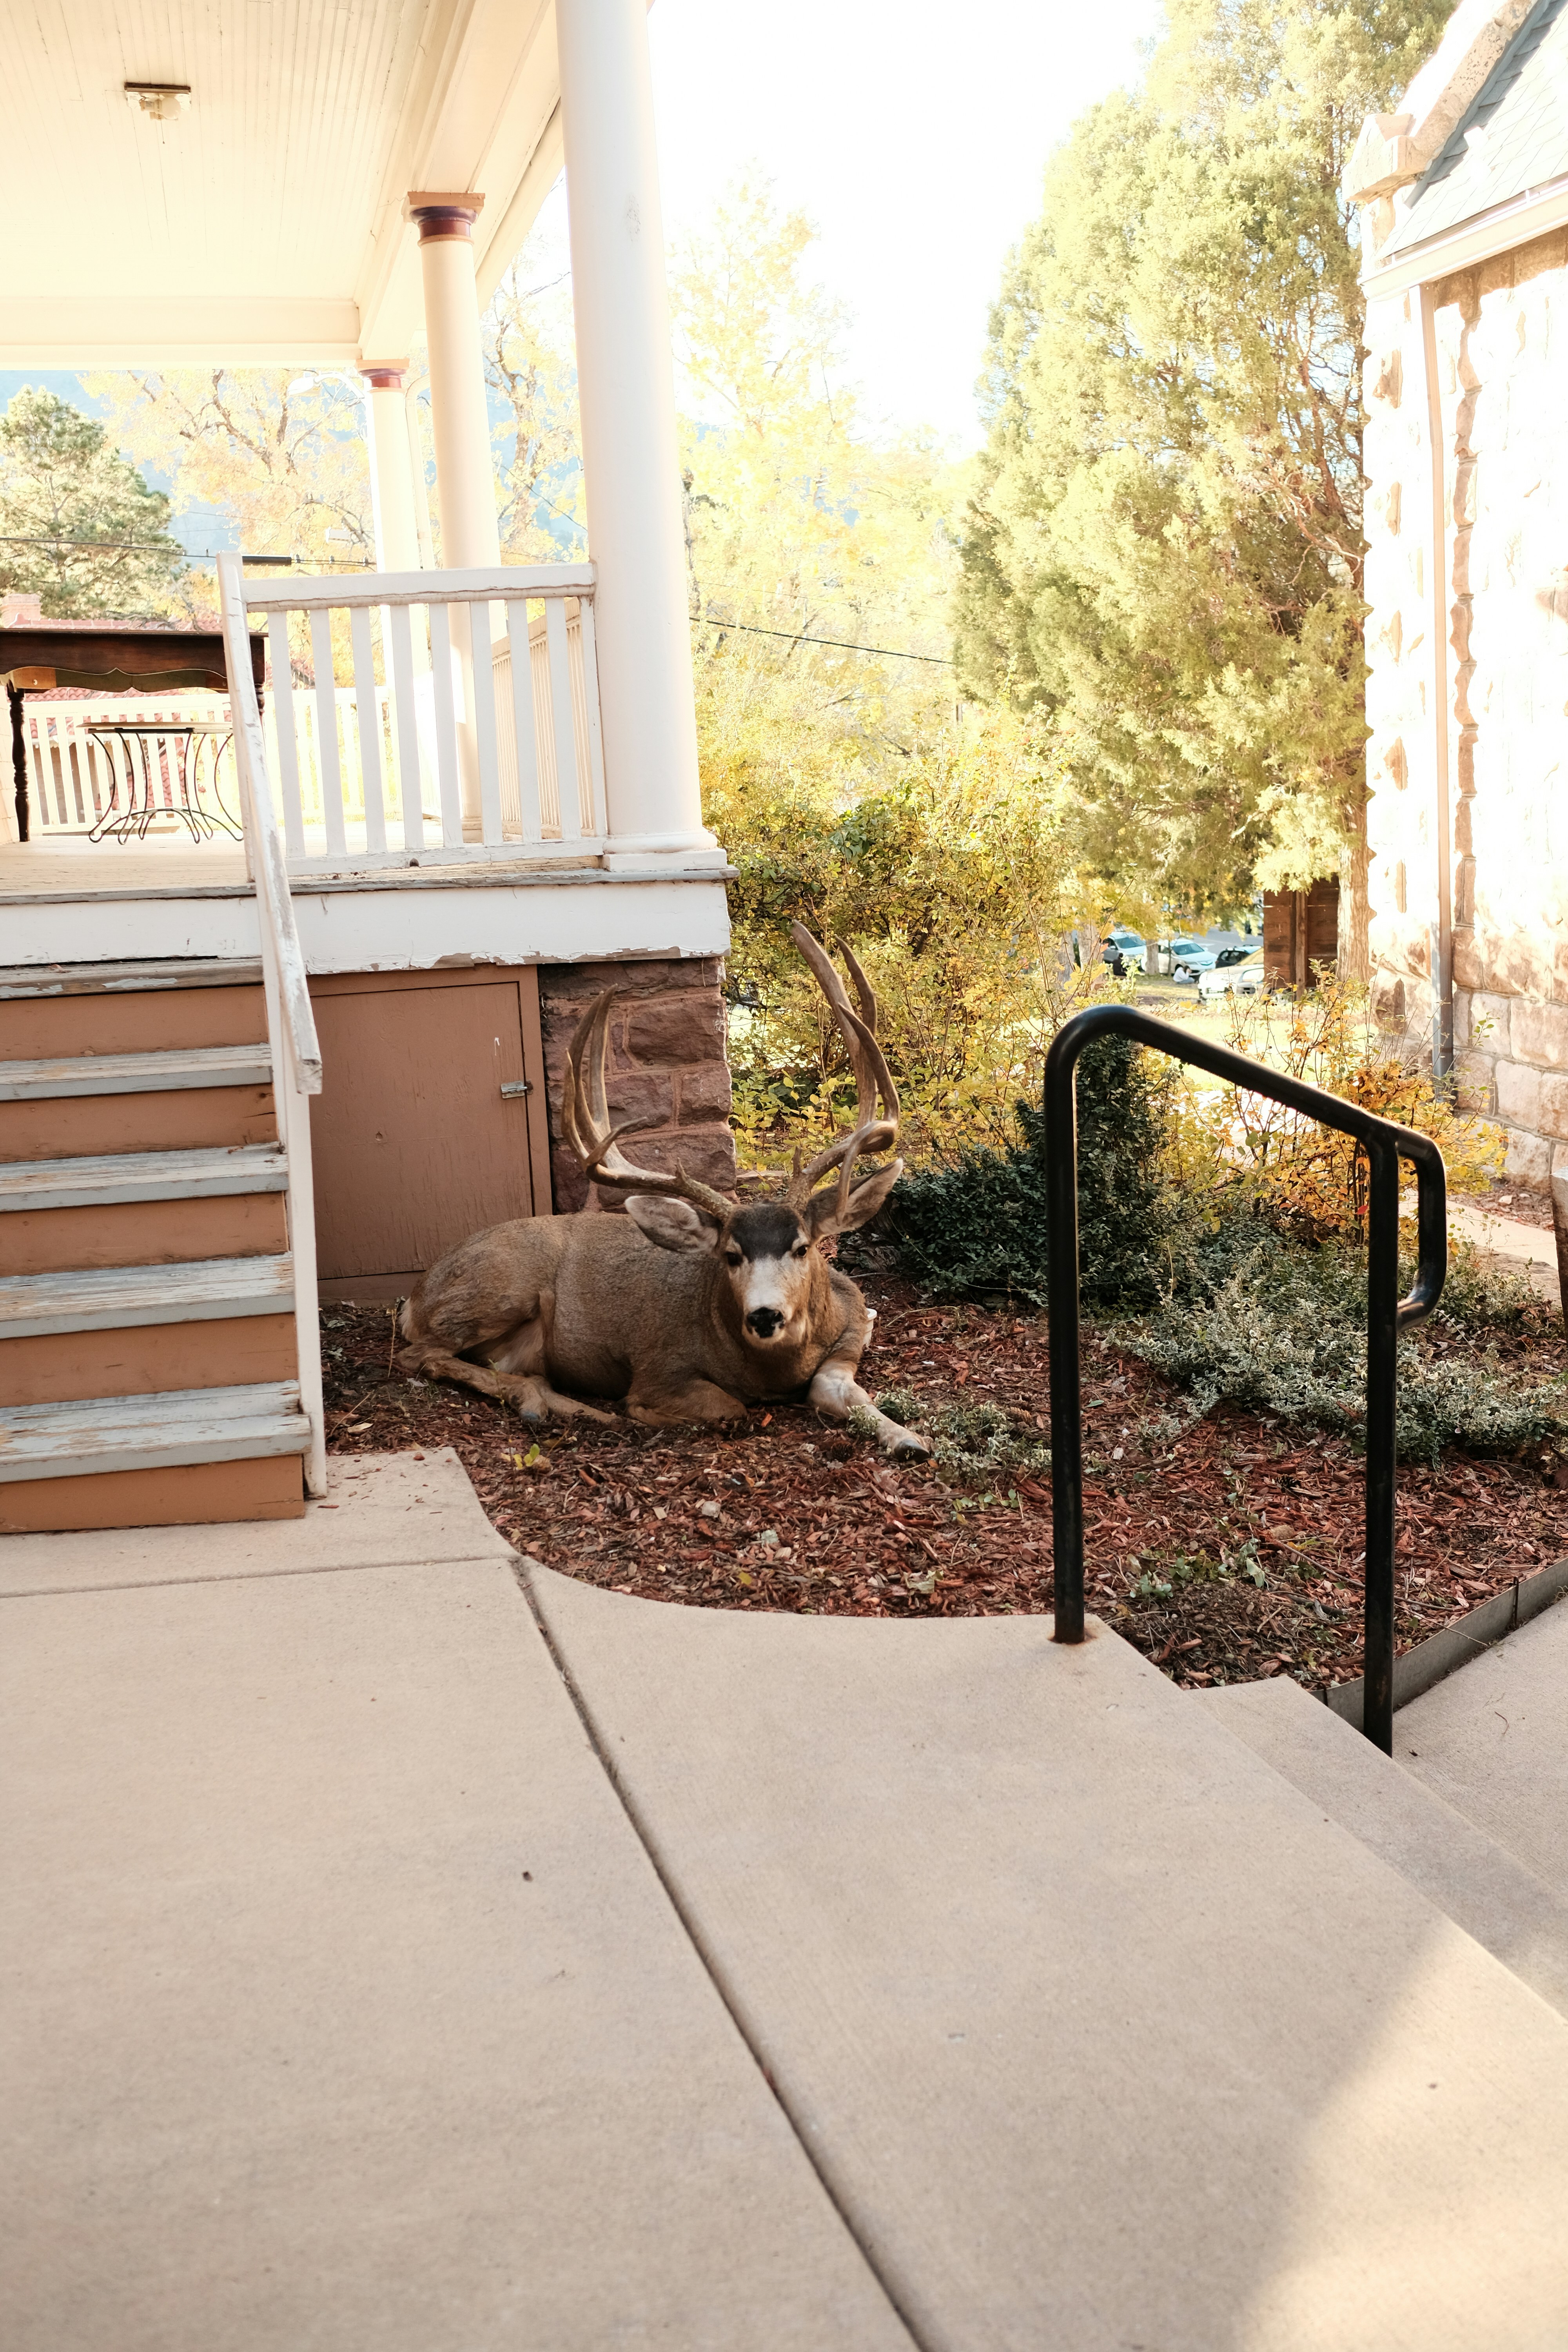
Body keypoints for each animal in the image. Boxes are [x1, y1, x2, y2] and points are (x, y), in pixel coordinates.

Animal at [395, 924, 931, 1457]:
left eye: (802, 1248)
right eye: (731, 1255)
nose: (764, 1316)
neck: (772, 1370)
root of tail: (416, 1299)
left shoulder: (851, 1335)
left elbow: (845, 1393)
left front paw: (909, 1438)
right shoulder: (659, 1369)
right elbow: (725, 1407)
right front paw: (646, 1414)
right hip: (502, 1287)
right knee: (420, 1356)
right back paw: (560, 1406)